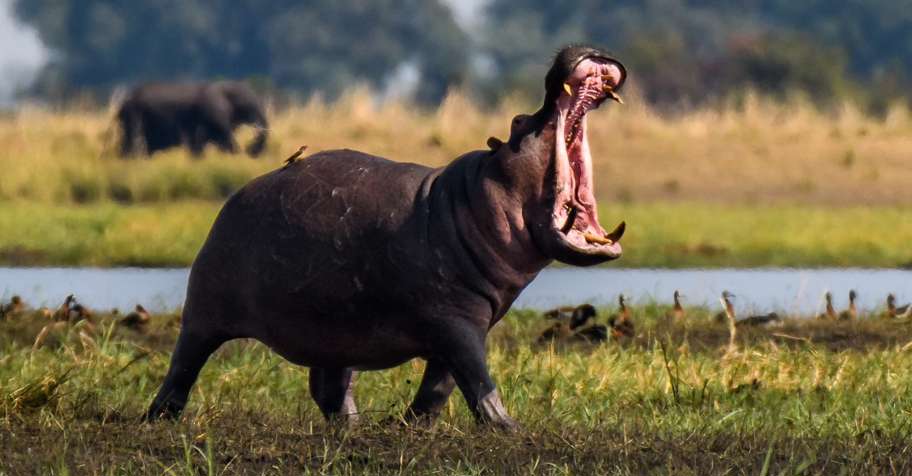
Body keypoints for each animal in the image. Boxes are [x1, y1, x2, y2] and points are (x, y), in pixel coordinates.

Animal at [145, 45, 627, 430]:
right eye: (519, 120)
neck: (477, 197)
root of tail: (236, 195)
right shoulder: (455, 321)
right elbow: (476, 378)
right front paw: (508, 427)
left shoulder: (468, 319)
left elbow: (441, 384)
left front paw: (411, 426)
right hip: (206, 309)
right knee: (184, 363)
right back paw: (160, 416)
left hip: (335, 327)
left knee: (331, 385)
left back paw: (351, 427)